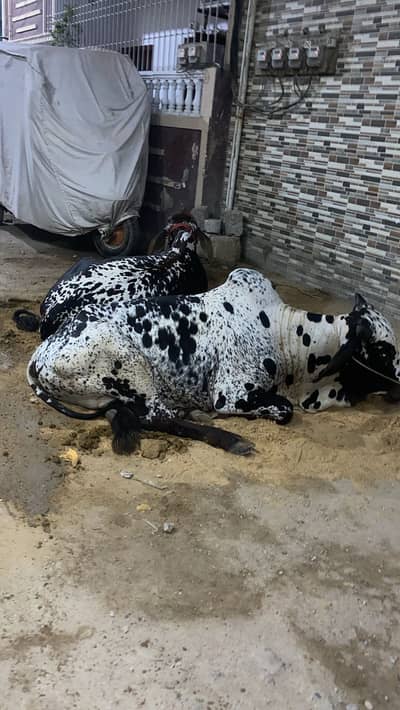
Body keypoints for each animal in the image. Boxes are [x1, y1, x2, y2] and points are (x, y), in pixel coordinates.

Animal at [27, 268, 400, 455]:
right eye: (383, 352)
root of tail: (41, 354)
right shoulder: (232, 393)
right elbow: (283, 410)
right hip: (131, 365)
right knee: (155, 417)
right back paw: (228, 438)